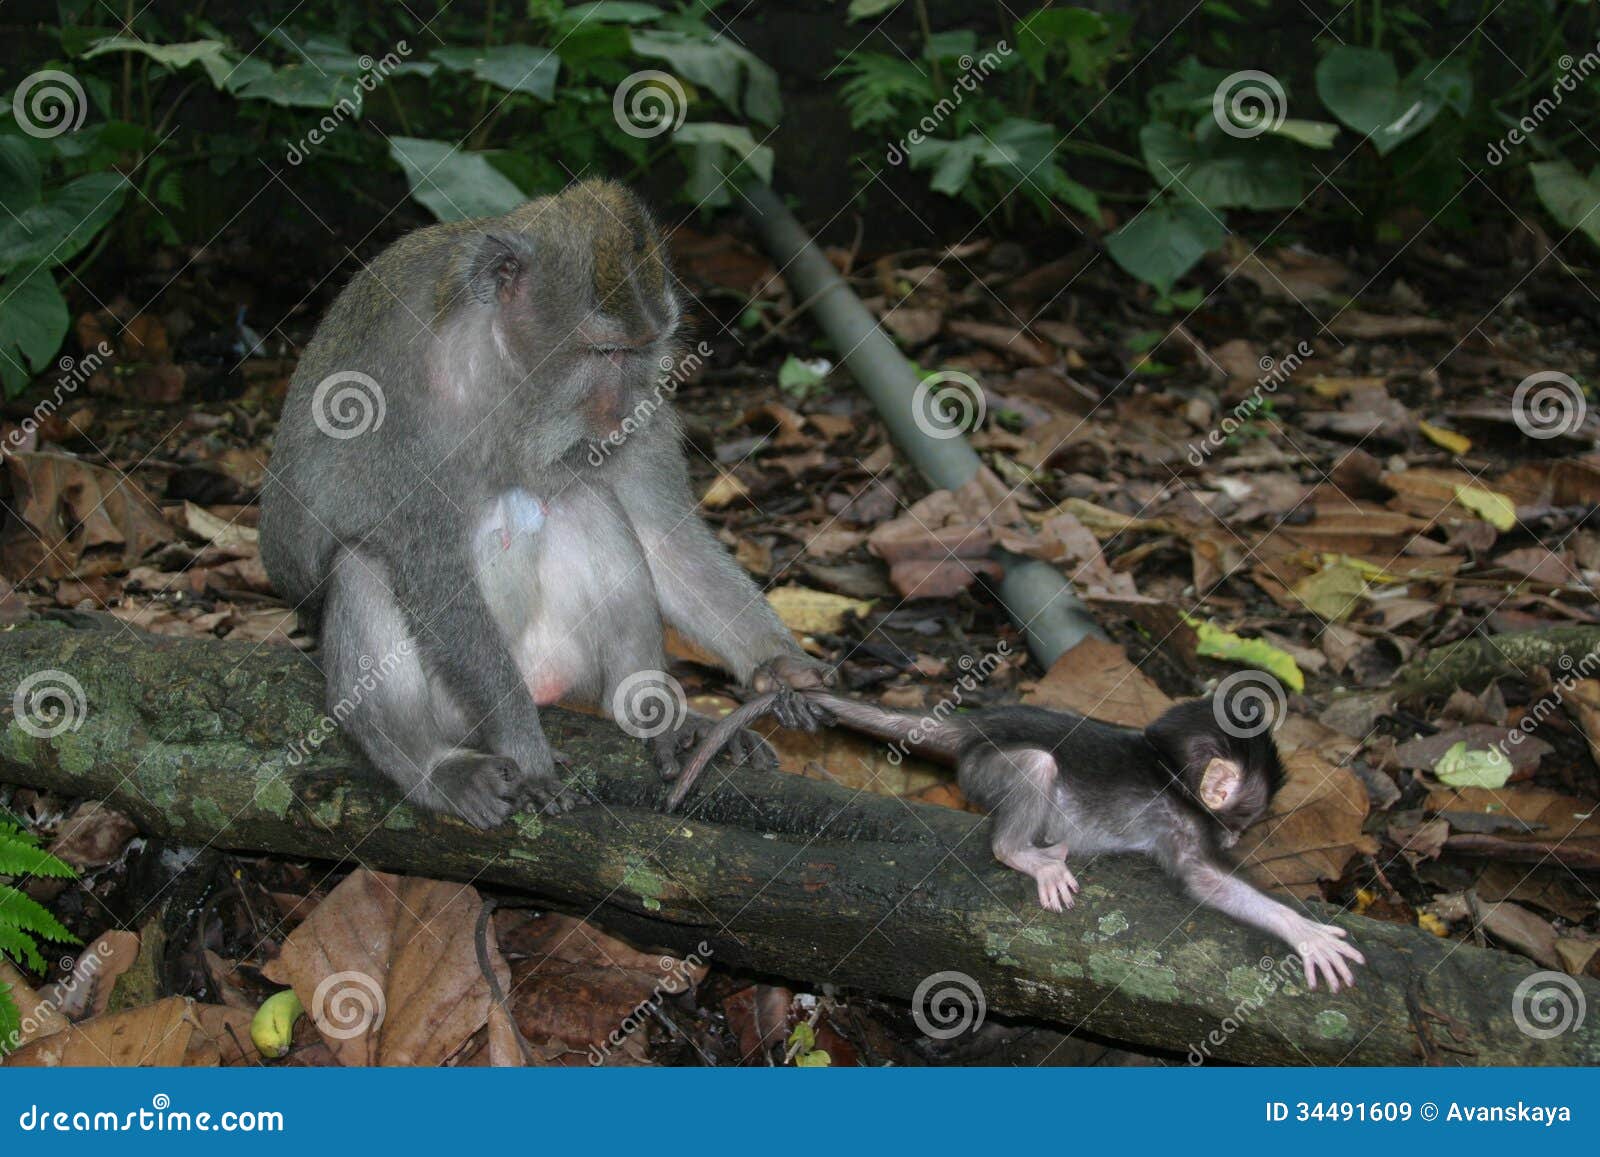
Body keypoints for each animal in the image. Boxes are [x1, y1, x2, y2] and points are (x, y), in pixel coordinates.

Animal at [260, 179, 829, 830]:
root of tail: (541, 681)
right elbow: (432, 575)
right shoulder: (392, 406)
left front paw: (779, 667)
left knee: (583, 497)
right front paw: (527, 756)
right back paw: (436, 768)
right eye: (604, 353)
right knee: (362, 563)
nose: (623, 409)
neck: (500, 378)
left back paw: (650, 712)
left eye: (644, 350)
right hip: (456, 706)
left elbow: (662, 534)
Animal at [672, 688, 1365, 992]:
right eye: (1245, 816)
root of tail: (976, 725)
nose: (1241, 833)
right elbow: (1203, 879)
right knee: (1035, 768)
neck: (1168, 767)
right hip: (988, 770)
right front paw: (1305, 933)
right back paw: (1027, 855)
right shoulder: (1182, 823)